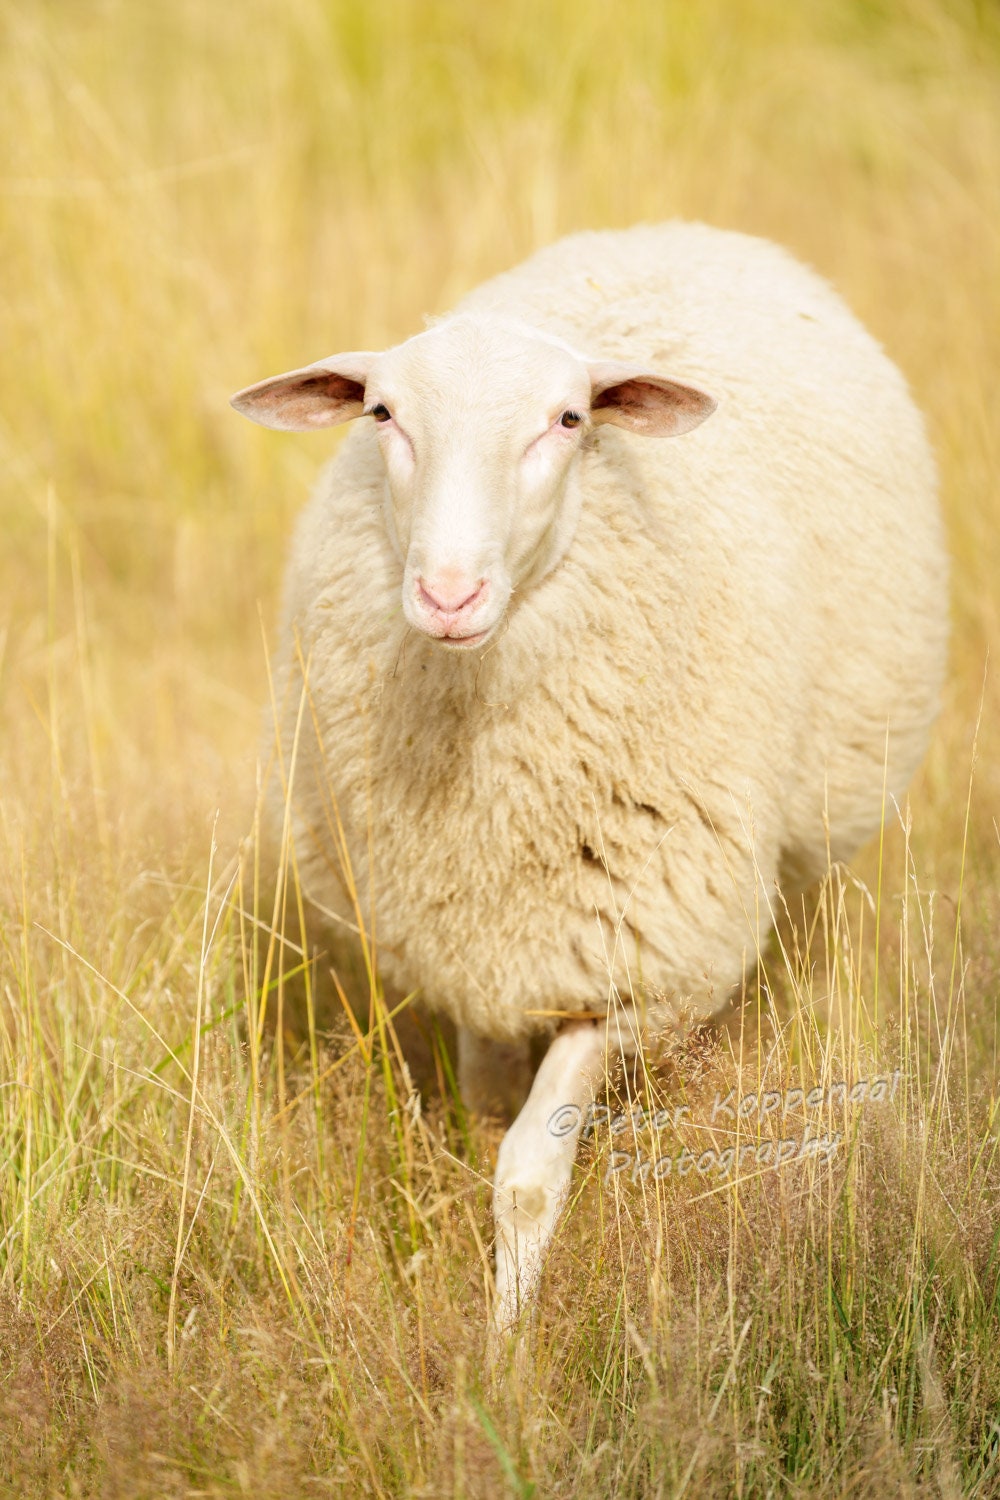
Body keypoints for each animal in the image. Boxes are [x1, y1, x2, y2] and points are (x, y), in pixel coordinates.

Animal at [231, 221, 949, 1347]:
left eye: (567, 421)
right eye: (382, 414)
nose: (448, 594)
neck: (485, 778)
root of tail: (676, 232)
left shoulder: (633, 964)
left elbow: (527, 1174)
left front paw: (506, 1349)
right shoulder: (468, 941)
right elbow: (483, 1116)